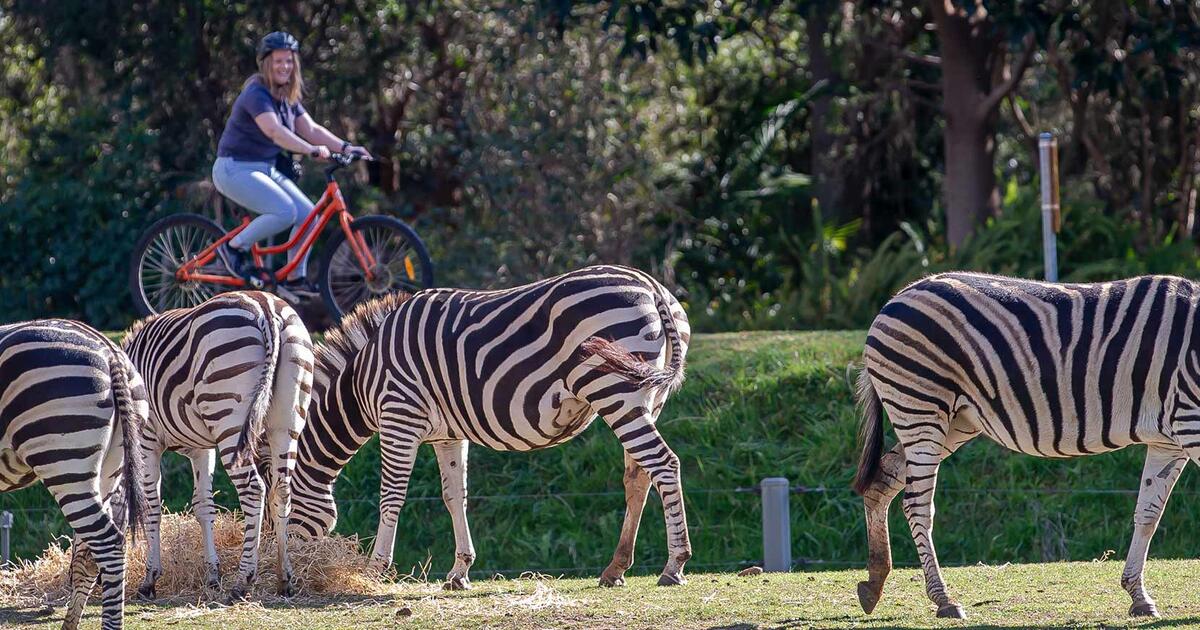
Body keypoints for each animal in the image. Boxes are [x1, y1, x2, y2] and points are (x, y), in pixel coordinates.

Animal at [120, 291, 314, 600]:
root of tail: (265, 307)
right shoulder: (202, 449)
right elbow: (204, 506)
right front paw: (212, 575)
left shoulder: (147, 440)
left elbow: (151, 507)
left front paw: (150, 579)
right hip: (287, 420)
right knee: (282, 490)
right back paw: (284, 578)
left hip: (229, 418)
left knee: (254, 489)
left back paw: (243, 581)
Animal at [265, 265, 692, 588]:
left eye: (277, 512)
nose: (275, 571)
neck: (361, 380)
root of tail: (651, 286)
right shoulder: (448, 435)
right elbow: (455, 496)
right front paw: (459, 572)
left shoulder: (399, 417)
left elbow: (391, 496)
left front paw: (375, 569)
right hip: (644, 398)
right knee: (639, 476)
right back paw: (615, 568)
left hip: (615, 391)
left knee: (665, 464)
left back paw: (674, 566)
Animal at [852, 271, 1200, 619]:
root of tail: (901, 294)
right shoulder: (1190, 424)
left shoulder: (1168, 441)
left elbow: (1148, 514)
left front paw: (1138, 595)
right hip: (920, 407)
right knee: (917, 505)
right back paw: (943, 599)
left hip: (952, 420)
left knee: (882, 482)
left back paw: (873, 585)